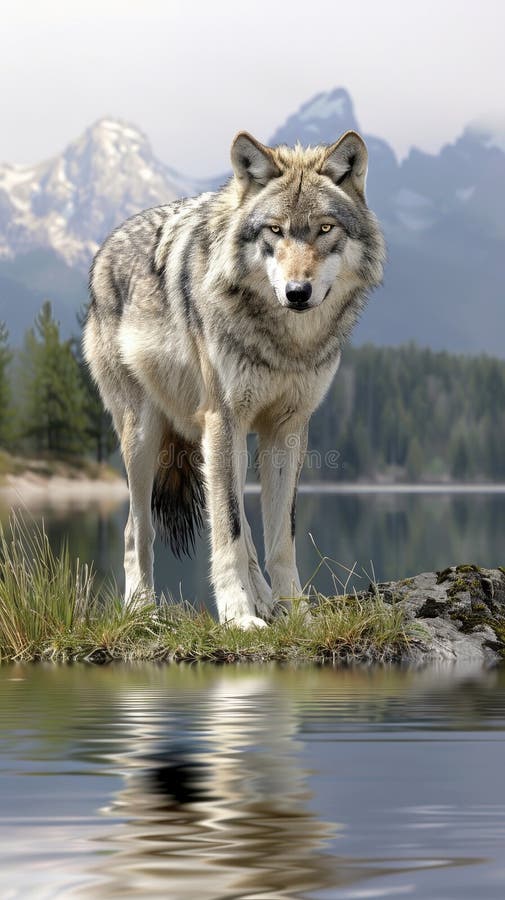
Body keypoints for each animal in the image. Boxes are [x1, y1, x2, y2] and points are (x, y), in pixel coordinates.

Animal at [83, 129, 385, 628]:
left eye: (325, 229)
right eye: (275, 230)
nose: (297, 292)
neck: (287, 344)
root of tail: (105, 246)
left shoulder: (287, 429)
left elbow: (279, 538)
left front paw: (294, 612)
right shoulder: (223, 419)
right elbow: (227, 531)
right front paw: (238, 617)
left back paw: (262, 600)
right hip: (145, 436)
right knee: (135, 528)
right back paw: (142, 608)